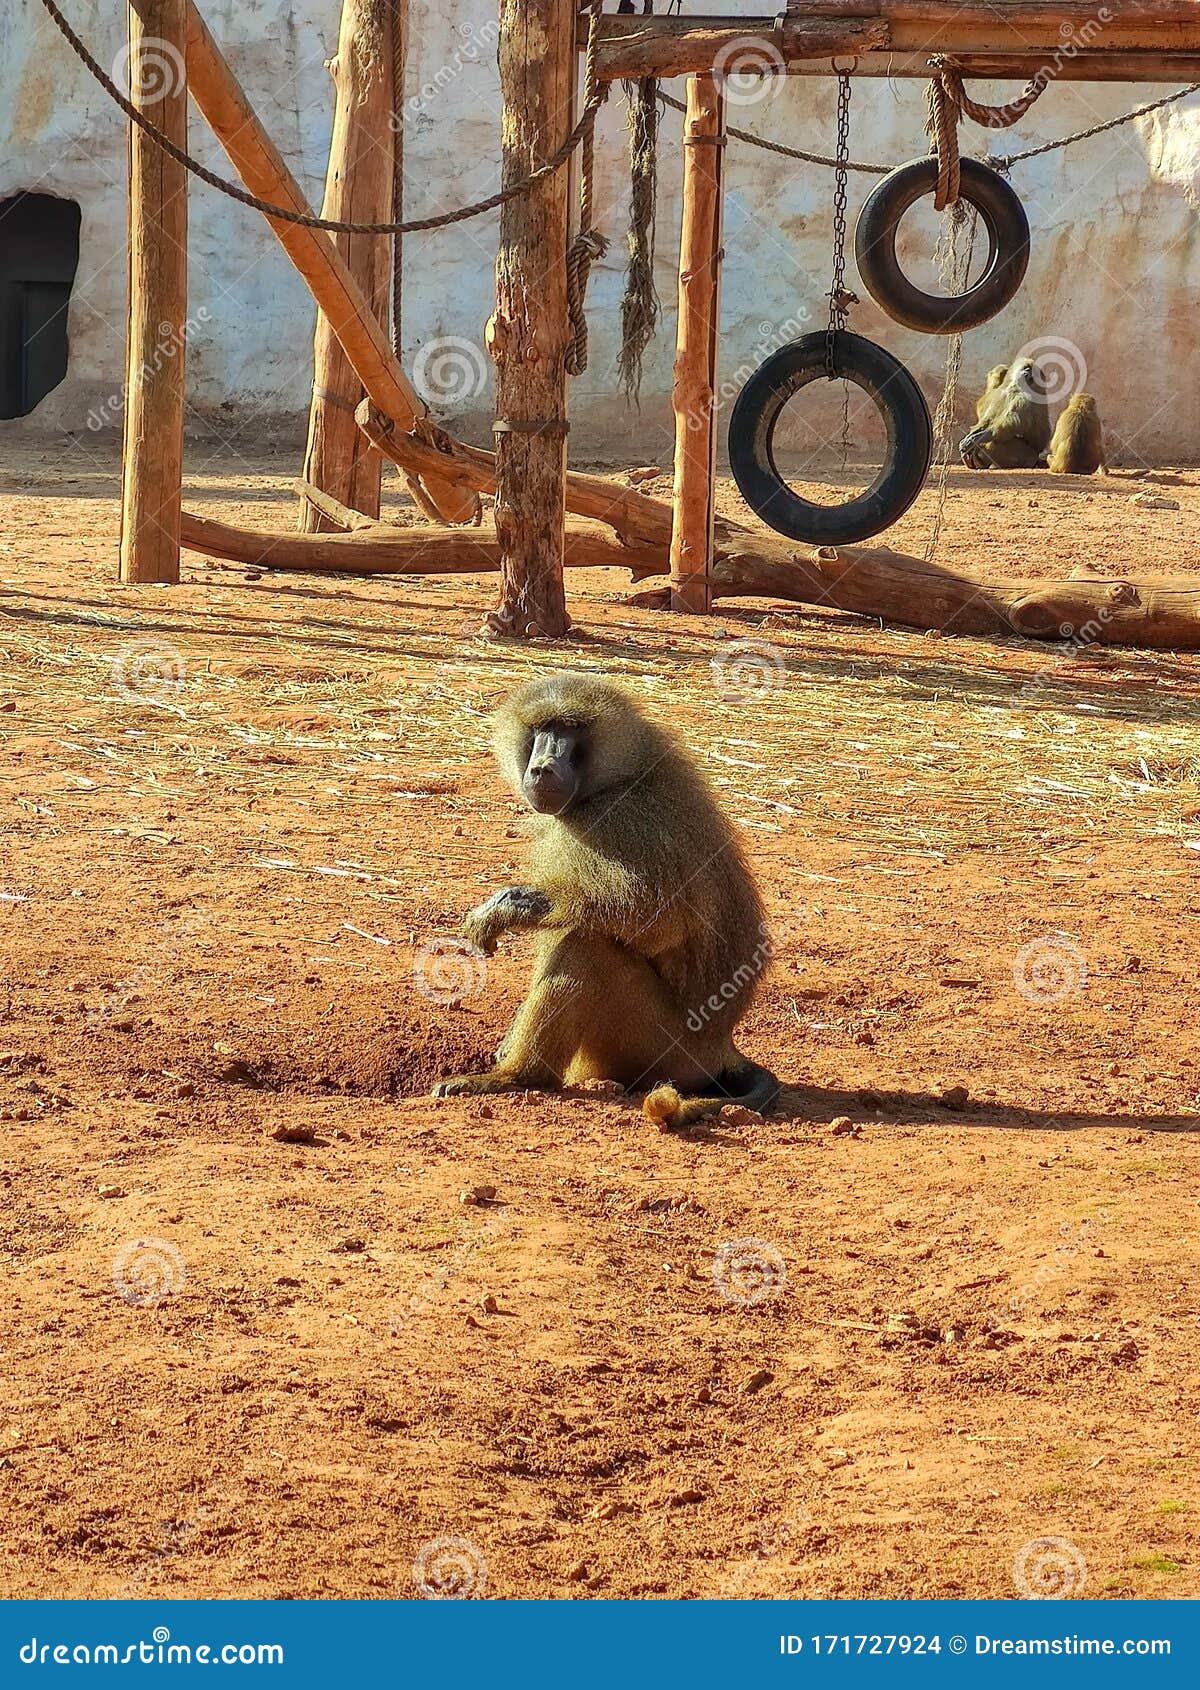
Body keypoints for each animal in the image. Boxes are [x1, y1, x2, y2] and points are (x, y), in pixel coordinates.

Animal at [431, 673, 781, 1128]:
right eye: (541, 729)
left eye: (570, 730)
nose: (543, 768)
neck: (617, 776)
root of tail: (720, 1048)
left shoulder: (617, 820)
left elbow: (655, 916)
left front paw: (506, 907)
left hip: (659, 1047)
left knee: (586, 946)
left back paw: (515, 1078)